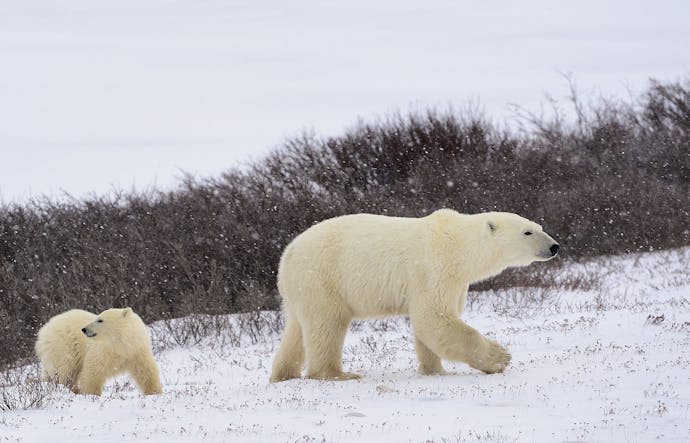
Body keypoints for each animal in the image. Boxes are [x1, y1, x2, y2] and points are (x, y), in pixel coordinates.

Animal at [270, 209, 560, 382]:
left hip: (299, 290)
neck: (459, 246)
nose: (554, 246)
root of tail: (287, 254)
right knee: (326, 325)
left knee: (296, 329)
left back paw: (283, 374)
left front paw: (434, 370)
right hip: (323, 278)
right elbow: (433, 317)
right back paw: (337, 374)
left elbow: (431, 326)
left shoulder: (456, 282)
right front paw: (500, 358)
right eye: (527, 231)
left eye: (539, 225)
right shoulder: (434, 267)